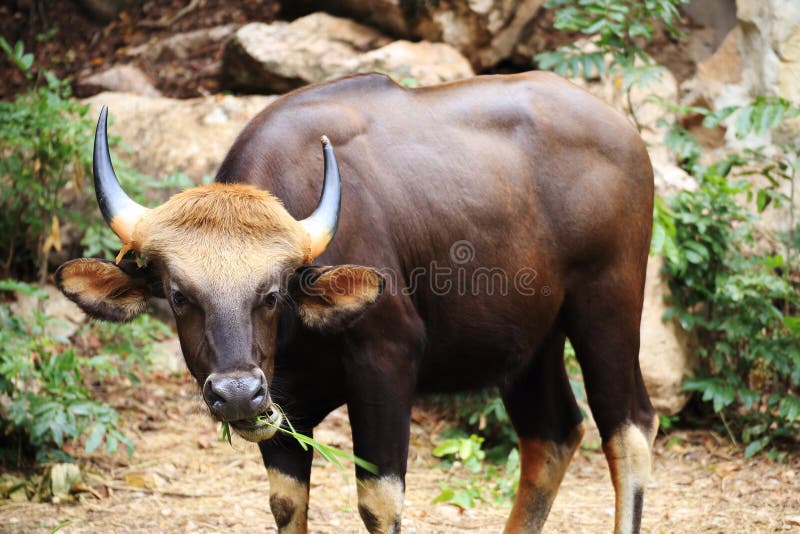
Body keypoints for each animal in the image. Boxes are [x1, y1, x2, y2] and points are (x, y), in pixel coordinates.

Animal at [55, 71, 656, 534]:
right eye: (180, 296)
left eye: (271, 293)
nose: (238, 394)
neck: (297, 336)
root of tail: (628, 135)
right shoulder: (286, 406)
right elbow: (286, 502)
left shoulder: (386, 364)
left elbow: (378, 503)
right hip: (529, 345)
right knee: (552, 434)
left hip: (608, 307)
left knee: (629, 429)